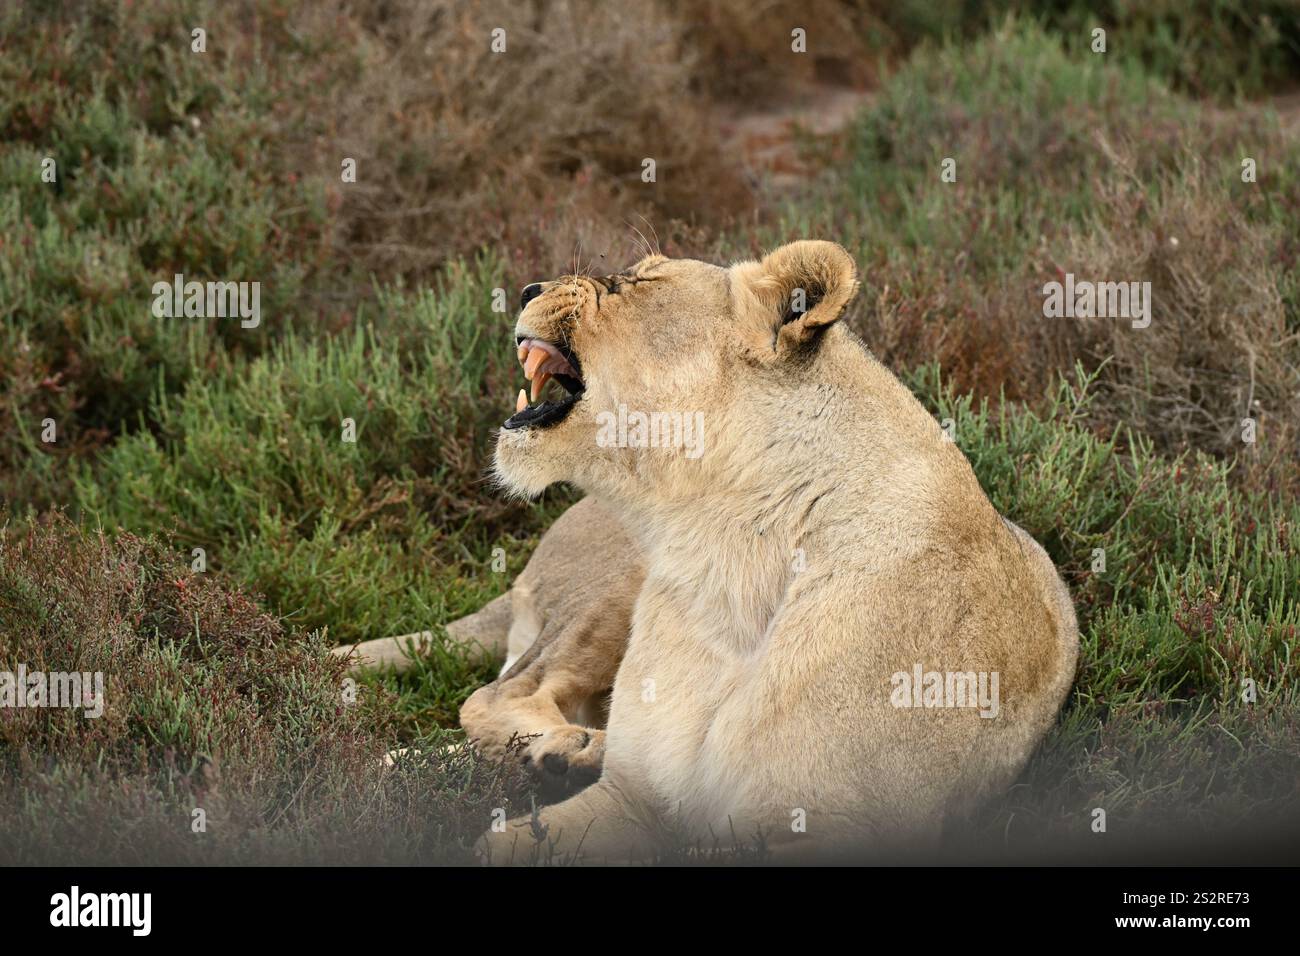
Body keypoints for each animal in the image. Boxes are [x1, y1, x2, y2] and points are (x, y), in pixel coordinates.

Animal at [338, 240, 1079, 862]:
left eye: (635, 281)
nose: (525, 287)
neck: (723, 556)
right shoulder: (632, 797)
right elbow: (495, 845)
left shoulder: (832, 832)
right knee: (496, 693)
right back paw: (560, 752)